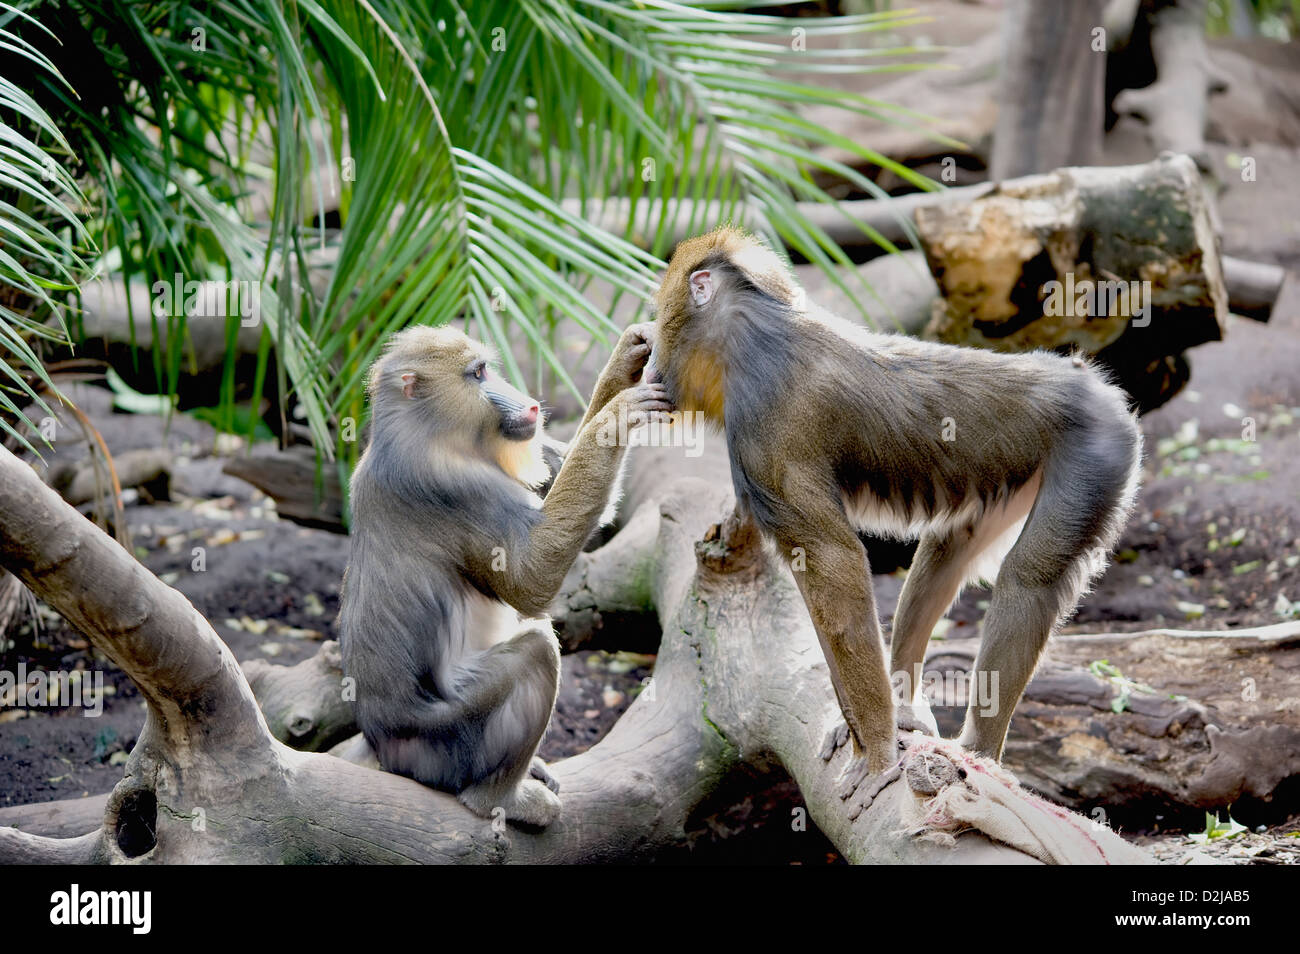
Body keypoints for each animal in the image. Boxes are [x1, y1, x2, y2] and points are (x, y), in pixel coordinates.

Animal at [338, 323, 670, 827]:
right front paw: (618, 414)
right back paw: (502, 800)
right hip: (450, 741)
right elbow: (530, 579)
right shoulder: (457, 488)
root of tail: (384, 748)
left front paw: (626, 358)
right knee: (535, 650)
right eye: (477, 374)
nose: (529, 405)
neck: (421, 431)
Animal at [646, 226, 1141, 795]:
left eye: (662, 314)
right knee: (947, 551)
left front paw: (879, 752)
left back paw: (977, 756)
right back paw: (905, 706)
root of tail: (1091, 382)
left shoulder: (765, 437)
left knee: (1029, 578)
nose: (650, 358)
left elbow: (834, 560)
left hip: (1094, 454)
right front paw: (862, 732)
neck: (755, 327)